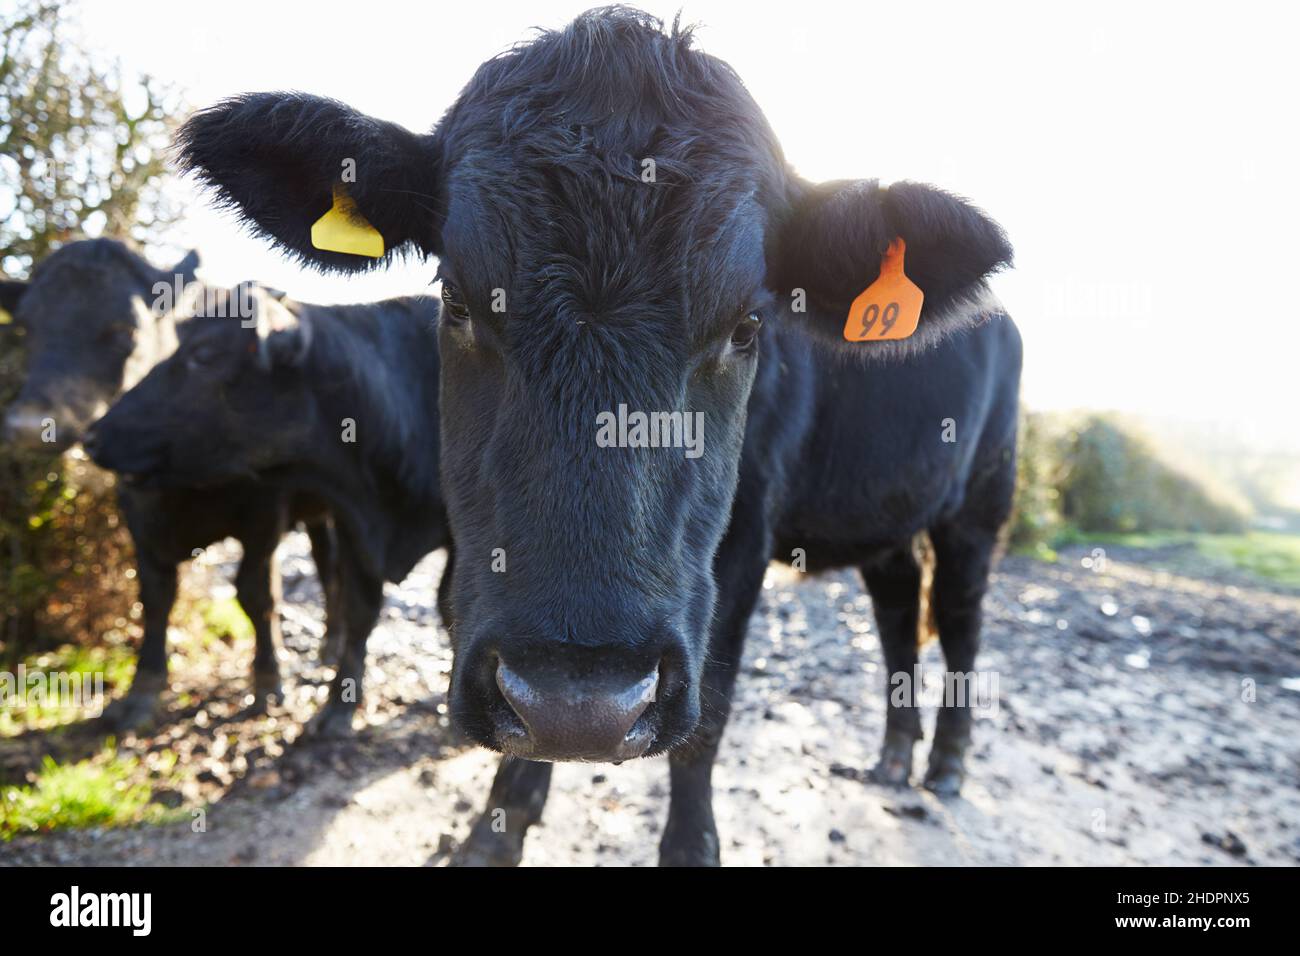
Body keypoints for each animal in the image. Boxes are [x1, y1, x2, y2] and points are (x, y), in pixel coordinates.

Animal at [1, 239, 343, 730]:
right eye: (26, 329)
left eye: (124, 330)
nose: (30, 427)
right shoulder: (138, 509)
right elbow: (156, 595)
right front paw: (142, 689)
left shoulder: (265, 512)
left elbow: (256, 593)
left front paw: (266, 680)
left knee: (329, 566)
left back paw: (332, 646)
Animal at [84, 285, 452, 736]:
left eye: (204, 354)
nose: (94, 435)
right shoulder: (352, 524)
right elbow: (359, 608)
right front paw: (338, 706)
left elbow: (448, 604)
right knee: (328, 574)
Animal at [173, 6, 1020, 865]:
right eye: (458, 299)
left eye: (749, 324)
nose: (580, 702)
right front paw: (495, 828)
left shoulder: (742, 544)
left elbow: (707, 715)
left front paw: (690, 845)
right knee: (899, 609)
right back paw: (894, 754)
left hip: (982, 500)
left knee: (959, 616)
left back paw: (946, 762)